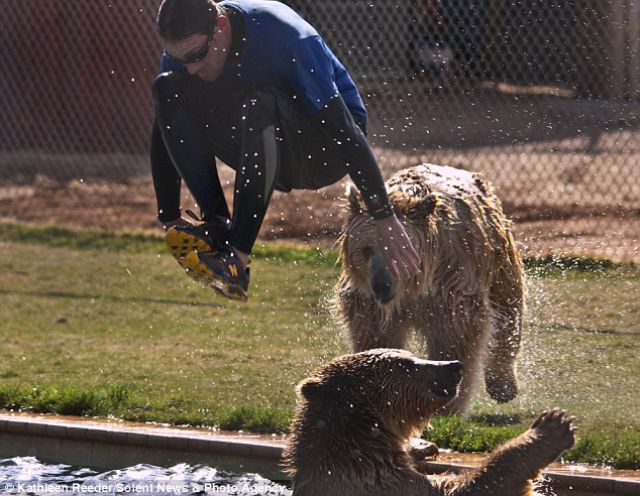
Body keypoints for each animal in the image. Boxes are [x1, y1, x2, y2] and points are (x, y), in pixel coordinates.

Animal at [282, 349, 577, 496]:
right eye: (405, 363)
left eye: (411, 353)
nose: (454, 365)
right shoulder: (380, 484)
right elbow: (469, 488)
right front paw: (553, 426)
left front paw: (422, 446)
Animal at [336, 164, 525, 413]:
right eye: (366, 249)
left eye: (397, 253)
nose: (381, 285)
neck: (412, 288)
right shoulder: (369, 302)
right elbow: (375, 335)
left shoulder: (450, 288)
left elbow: (455, 337)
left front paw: (449, 404)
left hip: (497, 256)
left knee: (507, 309)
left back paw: (503, 385)